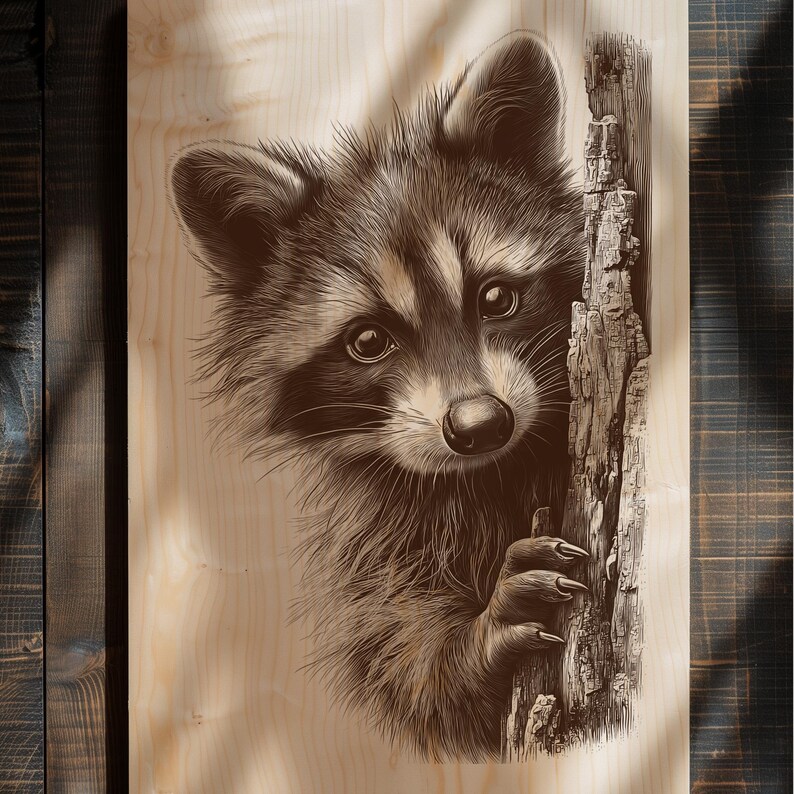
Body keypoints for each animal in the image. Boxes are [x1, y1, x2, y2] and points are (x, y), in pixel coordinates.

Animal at [170, 31, 588, 760]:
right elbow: (398, 667)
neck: (488, 474)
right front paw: (474, 640)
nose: (480, 425)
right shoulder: (376, 543)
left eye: (496, 297)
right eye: (368, 340)